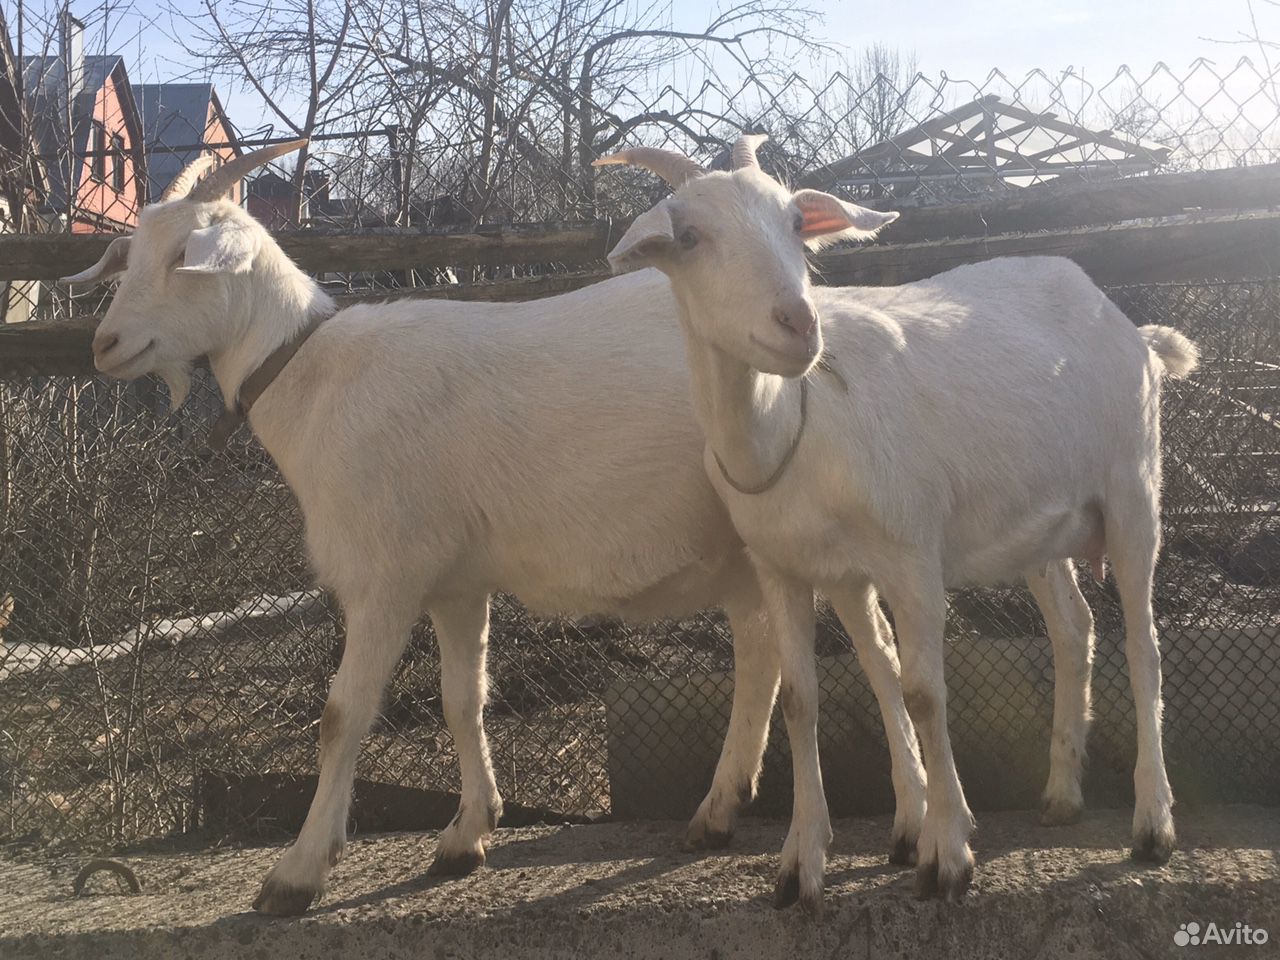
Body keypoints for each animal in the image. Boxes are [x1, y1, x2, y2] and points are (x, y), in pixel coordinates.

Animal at [66, 141, 930, 915]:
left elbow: (342, 714)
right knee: (766, 649)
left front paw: (297, 873)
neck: (312, 376)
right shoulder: (455, 580)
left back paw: (880, 824)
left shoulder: (385, 573)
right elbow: (462, 699)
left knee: (844, 650)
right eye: (129, 256)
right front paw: (467, 834)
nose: (104, 344)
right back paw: (722, 813)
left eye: (183, 257)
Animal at [597, 136, 1198, 911]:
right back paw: (1062, 794)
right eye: (691, 236)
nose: (799, 323)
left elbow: (921, 692)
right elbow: (801, 700)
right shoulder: (784, 567)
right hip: (1038, 526)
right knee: (1073, 626)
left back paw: (1152, 824)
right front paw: (801, 863)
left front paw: (946, 855)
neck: (799, 423)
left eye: (796, 222)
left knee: (1143, 643)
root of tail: (1133, 329)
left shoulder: (909, 553)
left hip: (1132, 487)